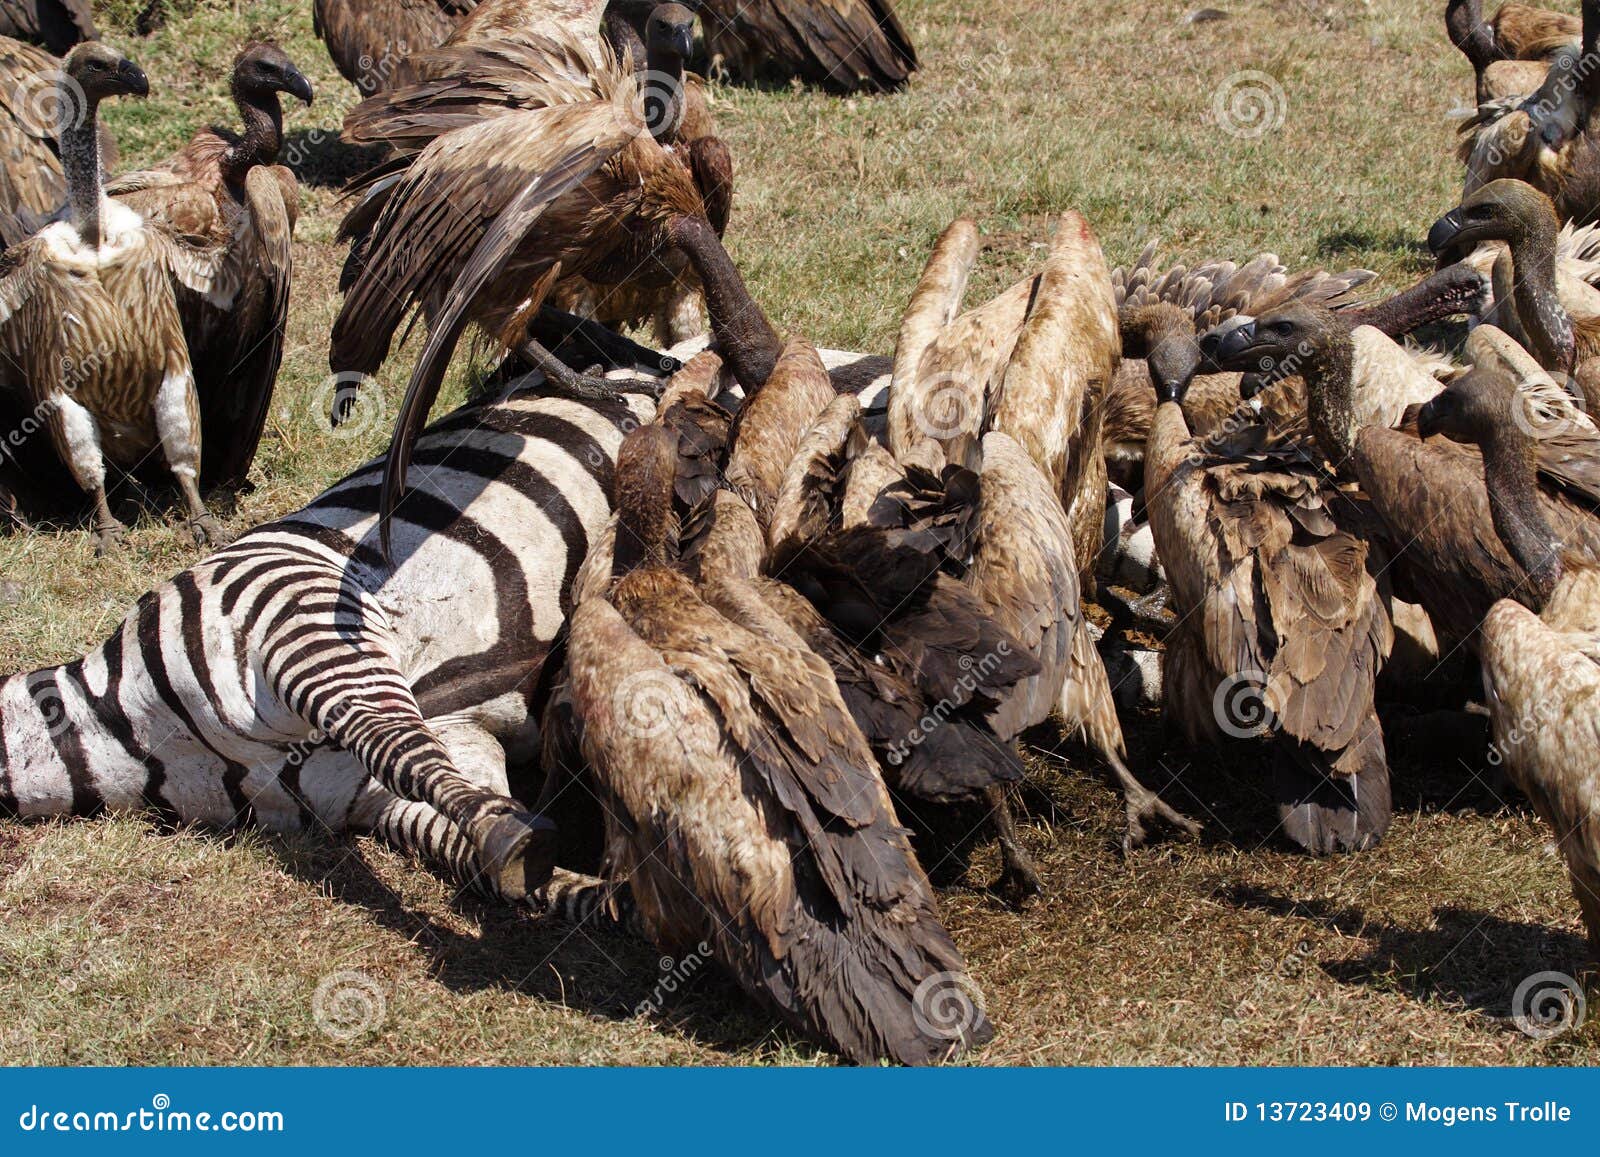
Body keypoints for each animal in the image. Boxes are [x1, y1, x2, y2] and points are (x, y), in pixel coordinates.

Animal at [0, 380, 658, 902]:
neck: (127, 735)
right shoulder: (364, 788)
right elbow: (465, 843)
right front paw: (614, 900)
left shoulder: (296, 613)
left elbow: (398, 748)